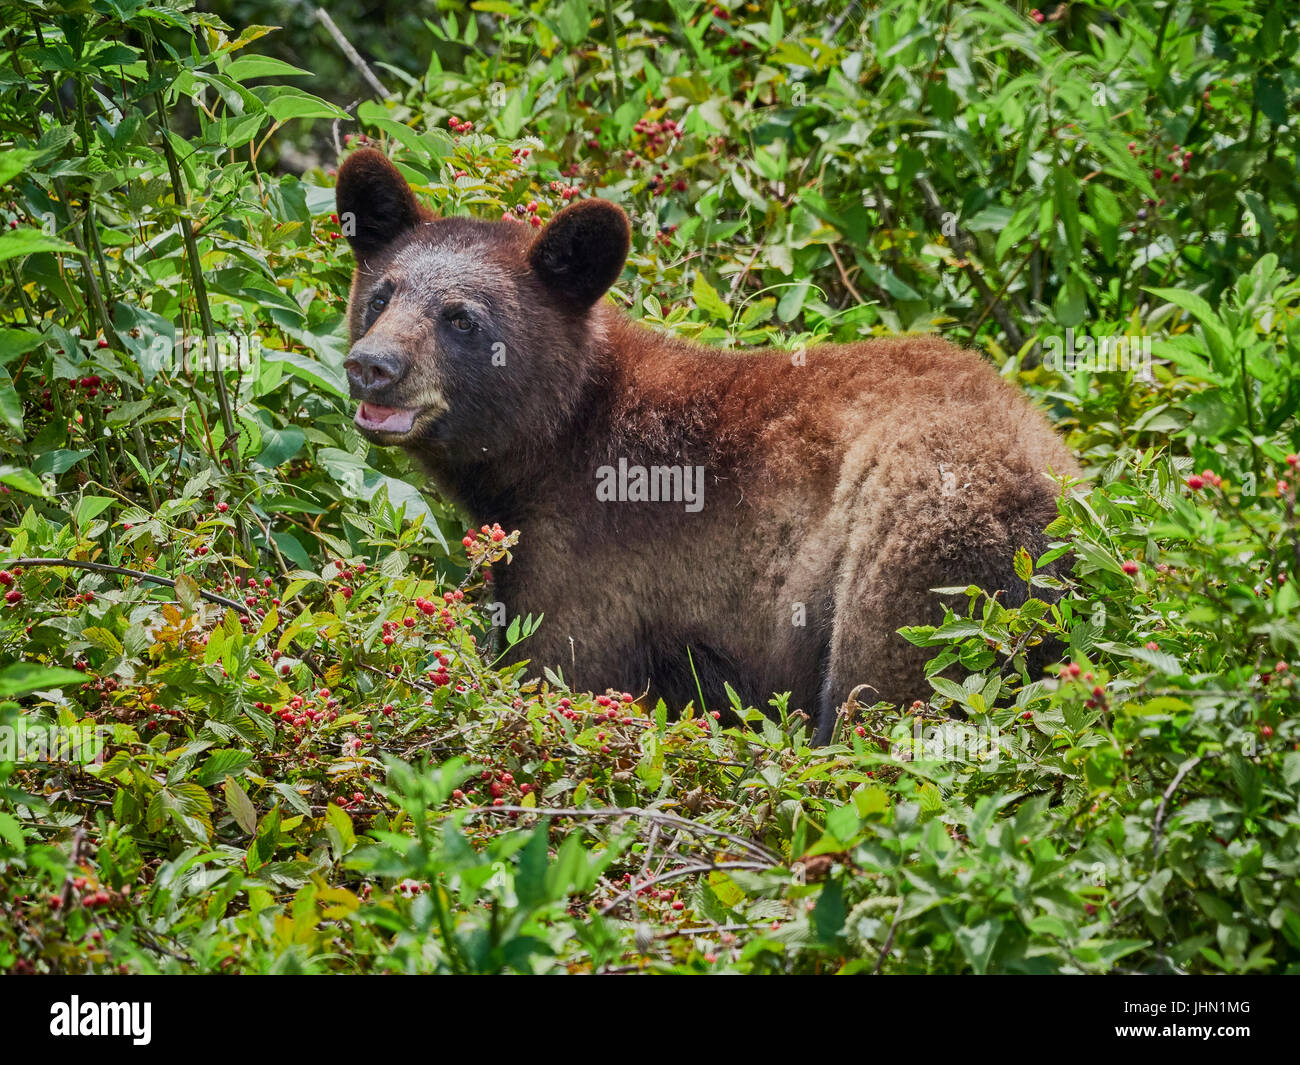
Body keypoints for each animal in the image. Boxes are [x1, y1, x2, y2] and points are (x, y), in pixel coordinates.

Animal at [335, 148, 1082, 744]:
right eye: (382, 295)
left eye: (461, 318)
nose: (373, 365)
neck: (558, 434)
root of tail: (1057, 490)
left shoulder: (593, 563)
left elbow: (560, 669)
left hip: (918, 547)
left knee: (884, 682)